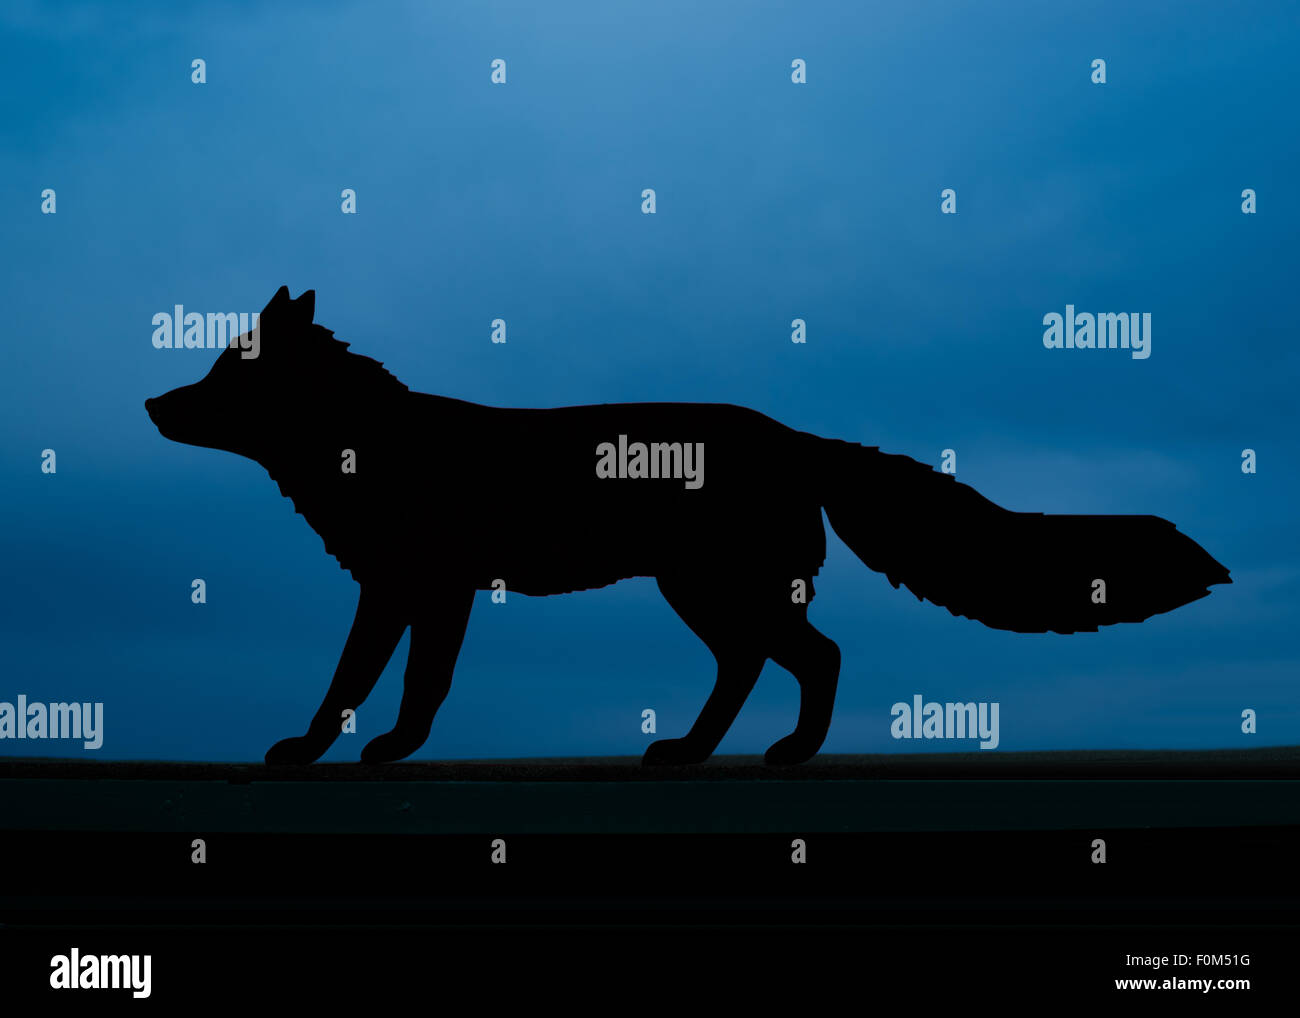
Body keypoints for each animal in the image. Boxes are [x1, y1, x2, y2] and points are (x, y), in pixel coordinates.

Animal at [146, 286, 1232, 766]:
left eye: (221, 373)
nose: (152, 403)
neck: (364, 448)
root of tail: (799, 437)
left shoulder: (426, 591)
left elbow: (392, 682)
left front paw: (369, 748)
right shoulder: (404, 591)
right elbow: (362, 681)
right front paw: (332, 746)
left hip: (713, 588)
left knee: (815, 656)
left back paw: (782, 753)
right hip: (702, 594)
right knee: (763, 663)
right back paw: (696, 749)